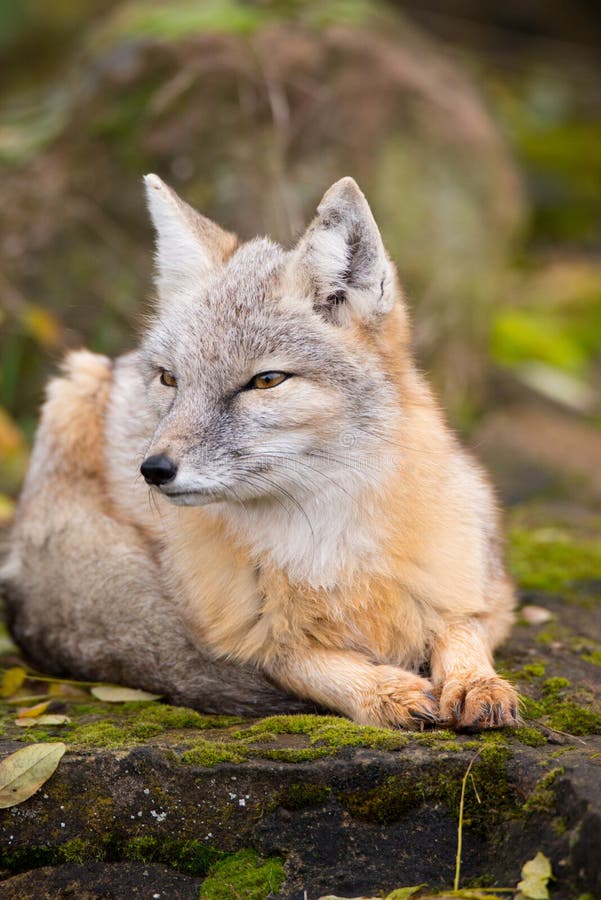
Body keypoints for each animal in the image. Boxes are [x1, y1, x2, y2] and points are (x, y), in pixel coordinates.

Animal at [0, 175, 518, 729]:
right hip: (73, 385)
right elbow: (303, 661)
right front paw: (383, 690)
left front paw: (476, 682)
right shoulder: (242, 638)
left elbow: (461, 629)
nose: (153, 470)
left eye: (266, 380)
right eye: (169, 379)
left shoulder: (487, 591)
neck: (326, 544)